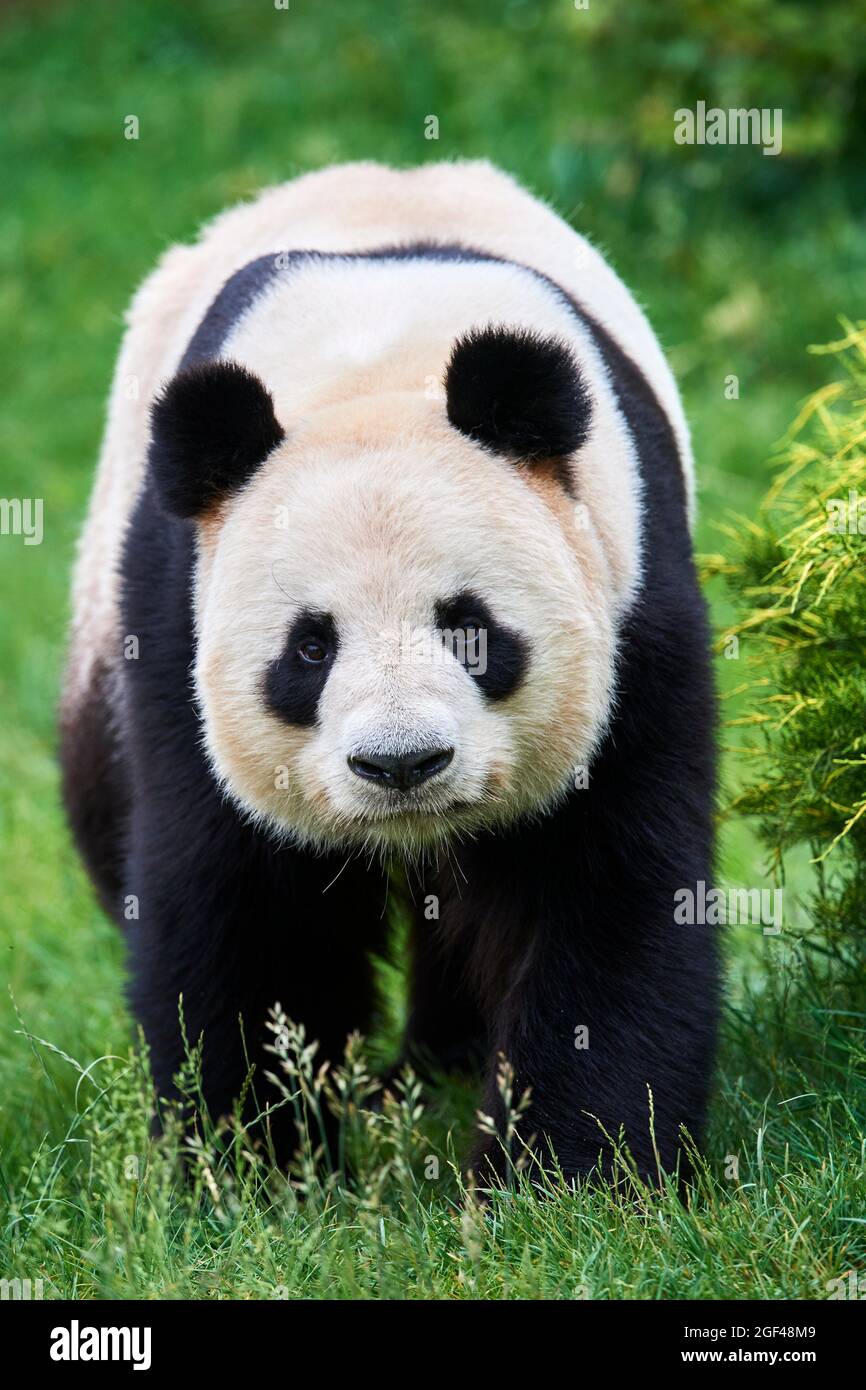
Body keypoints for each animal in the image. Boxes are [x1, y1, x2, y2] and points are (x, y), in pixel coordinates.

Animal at [60, 161, 718, 1184]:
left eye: (469, 629)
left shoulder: (632, 591)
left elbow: (612, 882)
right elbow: (246, 907)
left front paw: (569, 1177)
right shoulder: (177, 614)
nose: (402, 764)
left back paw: (438, 1069)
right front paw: (255, 1168)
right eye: (311, 646)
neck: (380, 367)